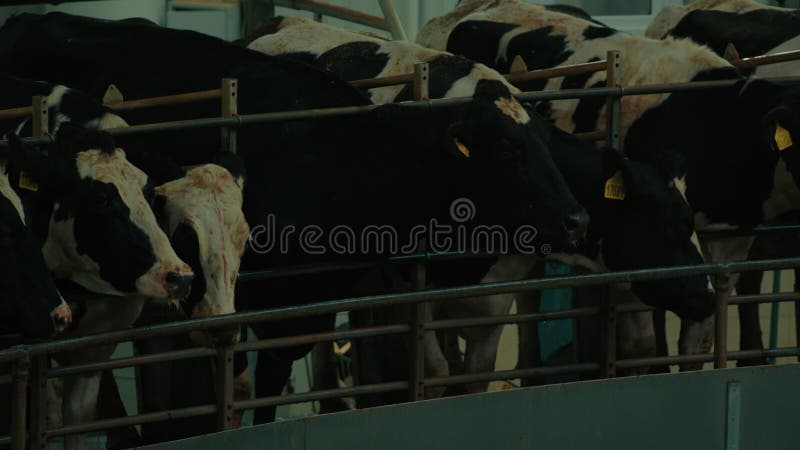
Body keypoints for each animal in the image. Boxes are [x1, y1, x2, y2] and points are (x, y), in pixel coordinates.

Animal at [240, 16, 713, 396]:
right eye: (672, 226)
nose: (708, 294)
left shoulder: (497, 294)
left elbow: (474, 376)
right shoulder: (415, 288)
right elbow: (433, 372)